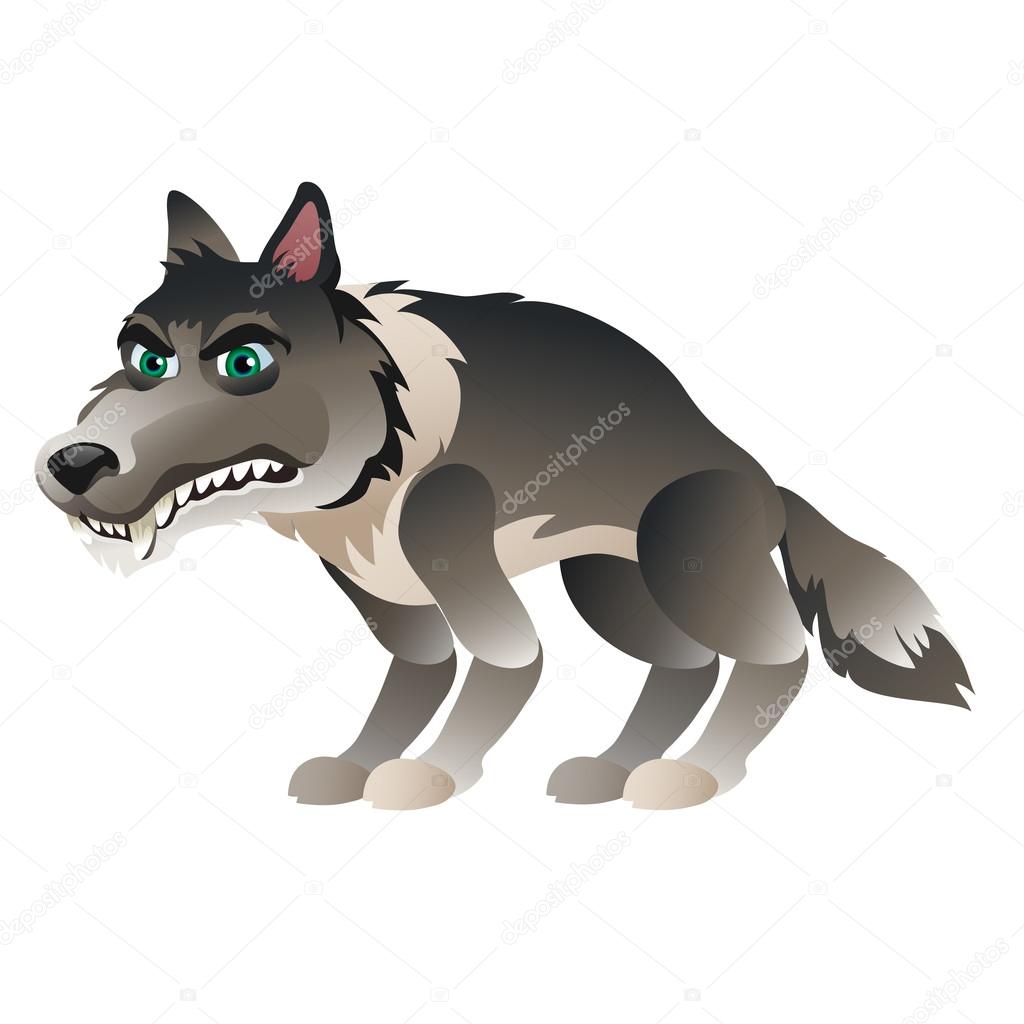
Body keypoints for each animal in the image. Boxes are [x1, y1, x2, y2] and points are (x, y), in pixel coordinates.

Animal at [36, 182, 972, 810]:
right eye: (142, 356)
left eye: (244, 362)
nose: (71, 464)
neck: (380, 441)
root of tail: (758, 473)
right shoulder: (389, 598)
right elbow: (415, 679)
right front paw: (359, 764)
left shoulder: (455, 560)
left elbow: (506, 665)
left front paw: (434, 772)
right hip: (608, 585)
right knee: (685, 665)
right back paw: (612, 768)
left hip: (684, 559)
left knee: (777, 657)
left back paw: (697, 772)